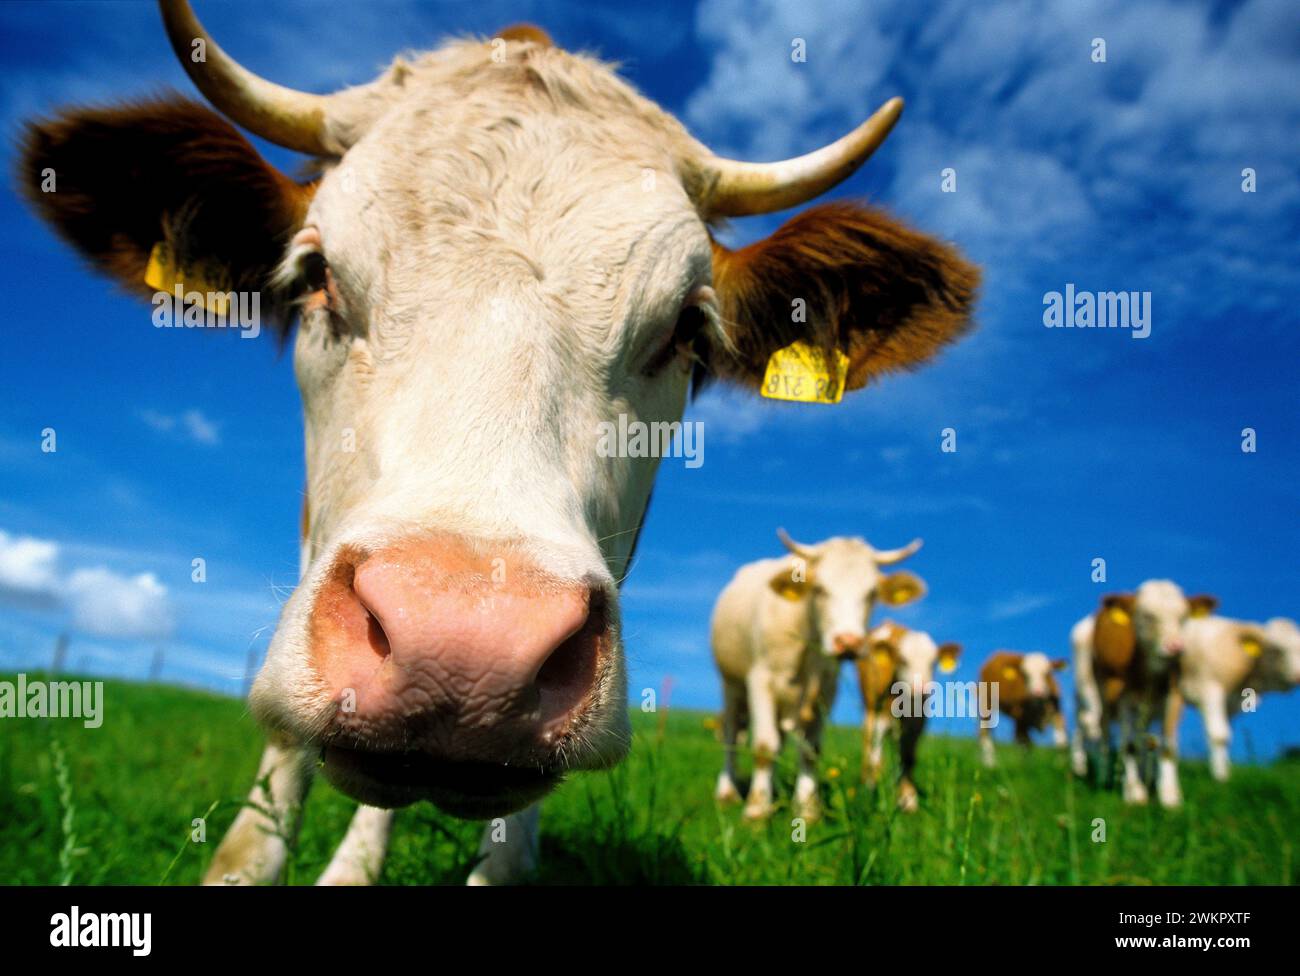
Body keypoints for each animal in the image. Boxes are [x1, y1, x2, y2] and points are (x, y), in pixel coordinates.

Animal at [710, 532, 926, 821]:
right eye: (820, 589)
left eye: (871, 593)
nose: (848, 642)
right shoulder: (761, 679)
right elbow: (764, 746)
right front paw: (756, 811)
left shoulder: (826, 687)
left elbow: (810, 750)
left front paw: (807, 808)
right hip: (731, 683)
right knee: (732, 734)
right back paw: (727, 792)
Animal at [856, 620, 960, 811]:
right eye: (903, 661)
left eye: (933, 662)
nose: (922, 691)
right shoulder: (879, 717)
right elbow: (876, 757)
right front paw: (874, 794)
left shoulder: (917, 724)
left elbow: (908, 758)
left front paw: (908, 799)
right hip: (869, 709)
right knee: (868, 746)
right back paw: (867, 781)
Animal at [1069, 580, 1217, 806]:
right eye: (1147, 615)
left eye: (1183, 616)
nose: (1176, 647)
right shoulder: (1123, 699)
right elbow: (1129, 744)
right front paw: (1134, 792)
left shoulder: (1173, 697)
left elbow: (1166, 744)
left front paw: (1170, 796)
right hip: (1093, 690)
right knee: (1099, 729)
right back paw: (1103, 775)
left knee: (1144, 739)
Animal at [1170, 615, 1300, 783]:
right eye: (1277, 650)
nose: (1298, 675)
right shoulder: (1208, 690)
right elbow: (1219, 736)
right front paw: (1220, 777)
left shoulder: (1230, 704)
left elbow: (1228, 736)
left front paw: (1227, 769)